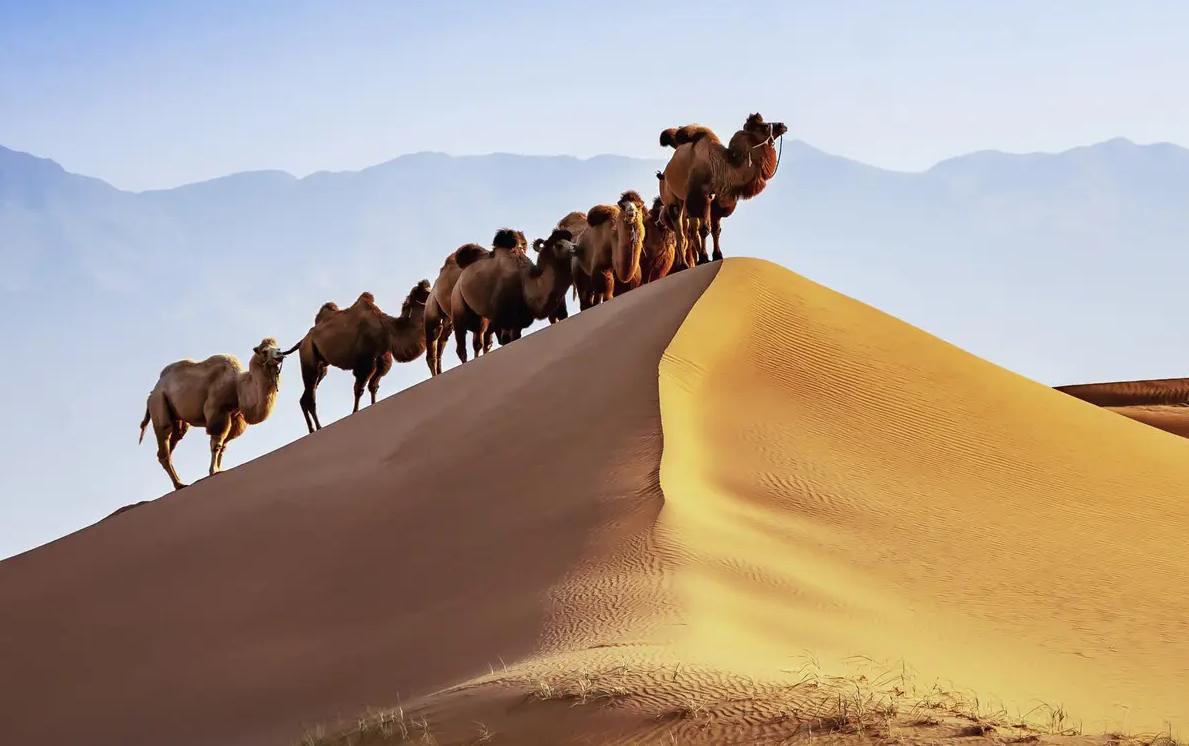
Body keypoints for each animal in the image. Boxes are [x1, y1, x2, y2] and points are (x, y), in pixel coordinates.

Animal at [138, 338, 285, 490]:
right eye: (265, 351)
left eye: (278, 348)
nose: (280, 355)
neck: (237, 385)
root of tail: (152, 392)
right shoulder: (216, 410)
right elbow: (216, 445)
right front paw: (213, 471)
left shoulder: (234, 417)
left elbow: (223, 447)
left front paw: (219, 469)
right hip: (158, 402)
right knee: (164, 436)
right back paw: (179, 484)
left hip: (176, 418)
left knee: (172, 442)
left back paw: (179, 482)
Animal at [283, 280, 430, 433]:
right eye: (424, 292)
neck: (389, 329)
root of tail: (302, 341)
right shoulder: (365, 361)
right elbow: (359, 389)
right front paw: (355, 412)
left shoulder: (381, 359)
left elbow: (373, 386)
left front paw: (374, 406)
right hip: (309, 357)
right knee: (311, 396)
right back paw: (318, 427)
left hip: (321, 366)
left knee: (306, 396)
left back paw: (312, 429)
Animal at [450, 228, 576, 362]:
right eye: (559, 245)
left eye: (569, 240)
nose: (575, 247)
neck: (526, 284)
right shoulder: (508, 319)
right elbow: (507, 339)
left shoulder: (517, 322)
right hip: (457, 304)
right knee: (462, 347)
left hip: (481, 318)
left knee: (479, 340)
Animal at [658, 112, 787, 265]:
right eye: (765, 126)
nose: (783, 125)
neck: (722, 168)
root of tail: (664, 173)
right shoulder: (702, 197)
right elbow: (704, 230)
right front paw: (704, 258)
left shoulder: (717, 200)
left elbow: (716, 229)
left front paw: (717, 256)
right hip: (673, 200)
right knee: (681, 233)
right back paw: (683, 264)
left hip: (687, 201)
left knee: (691, 230)